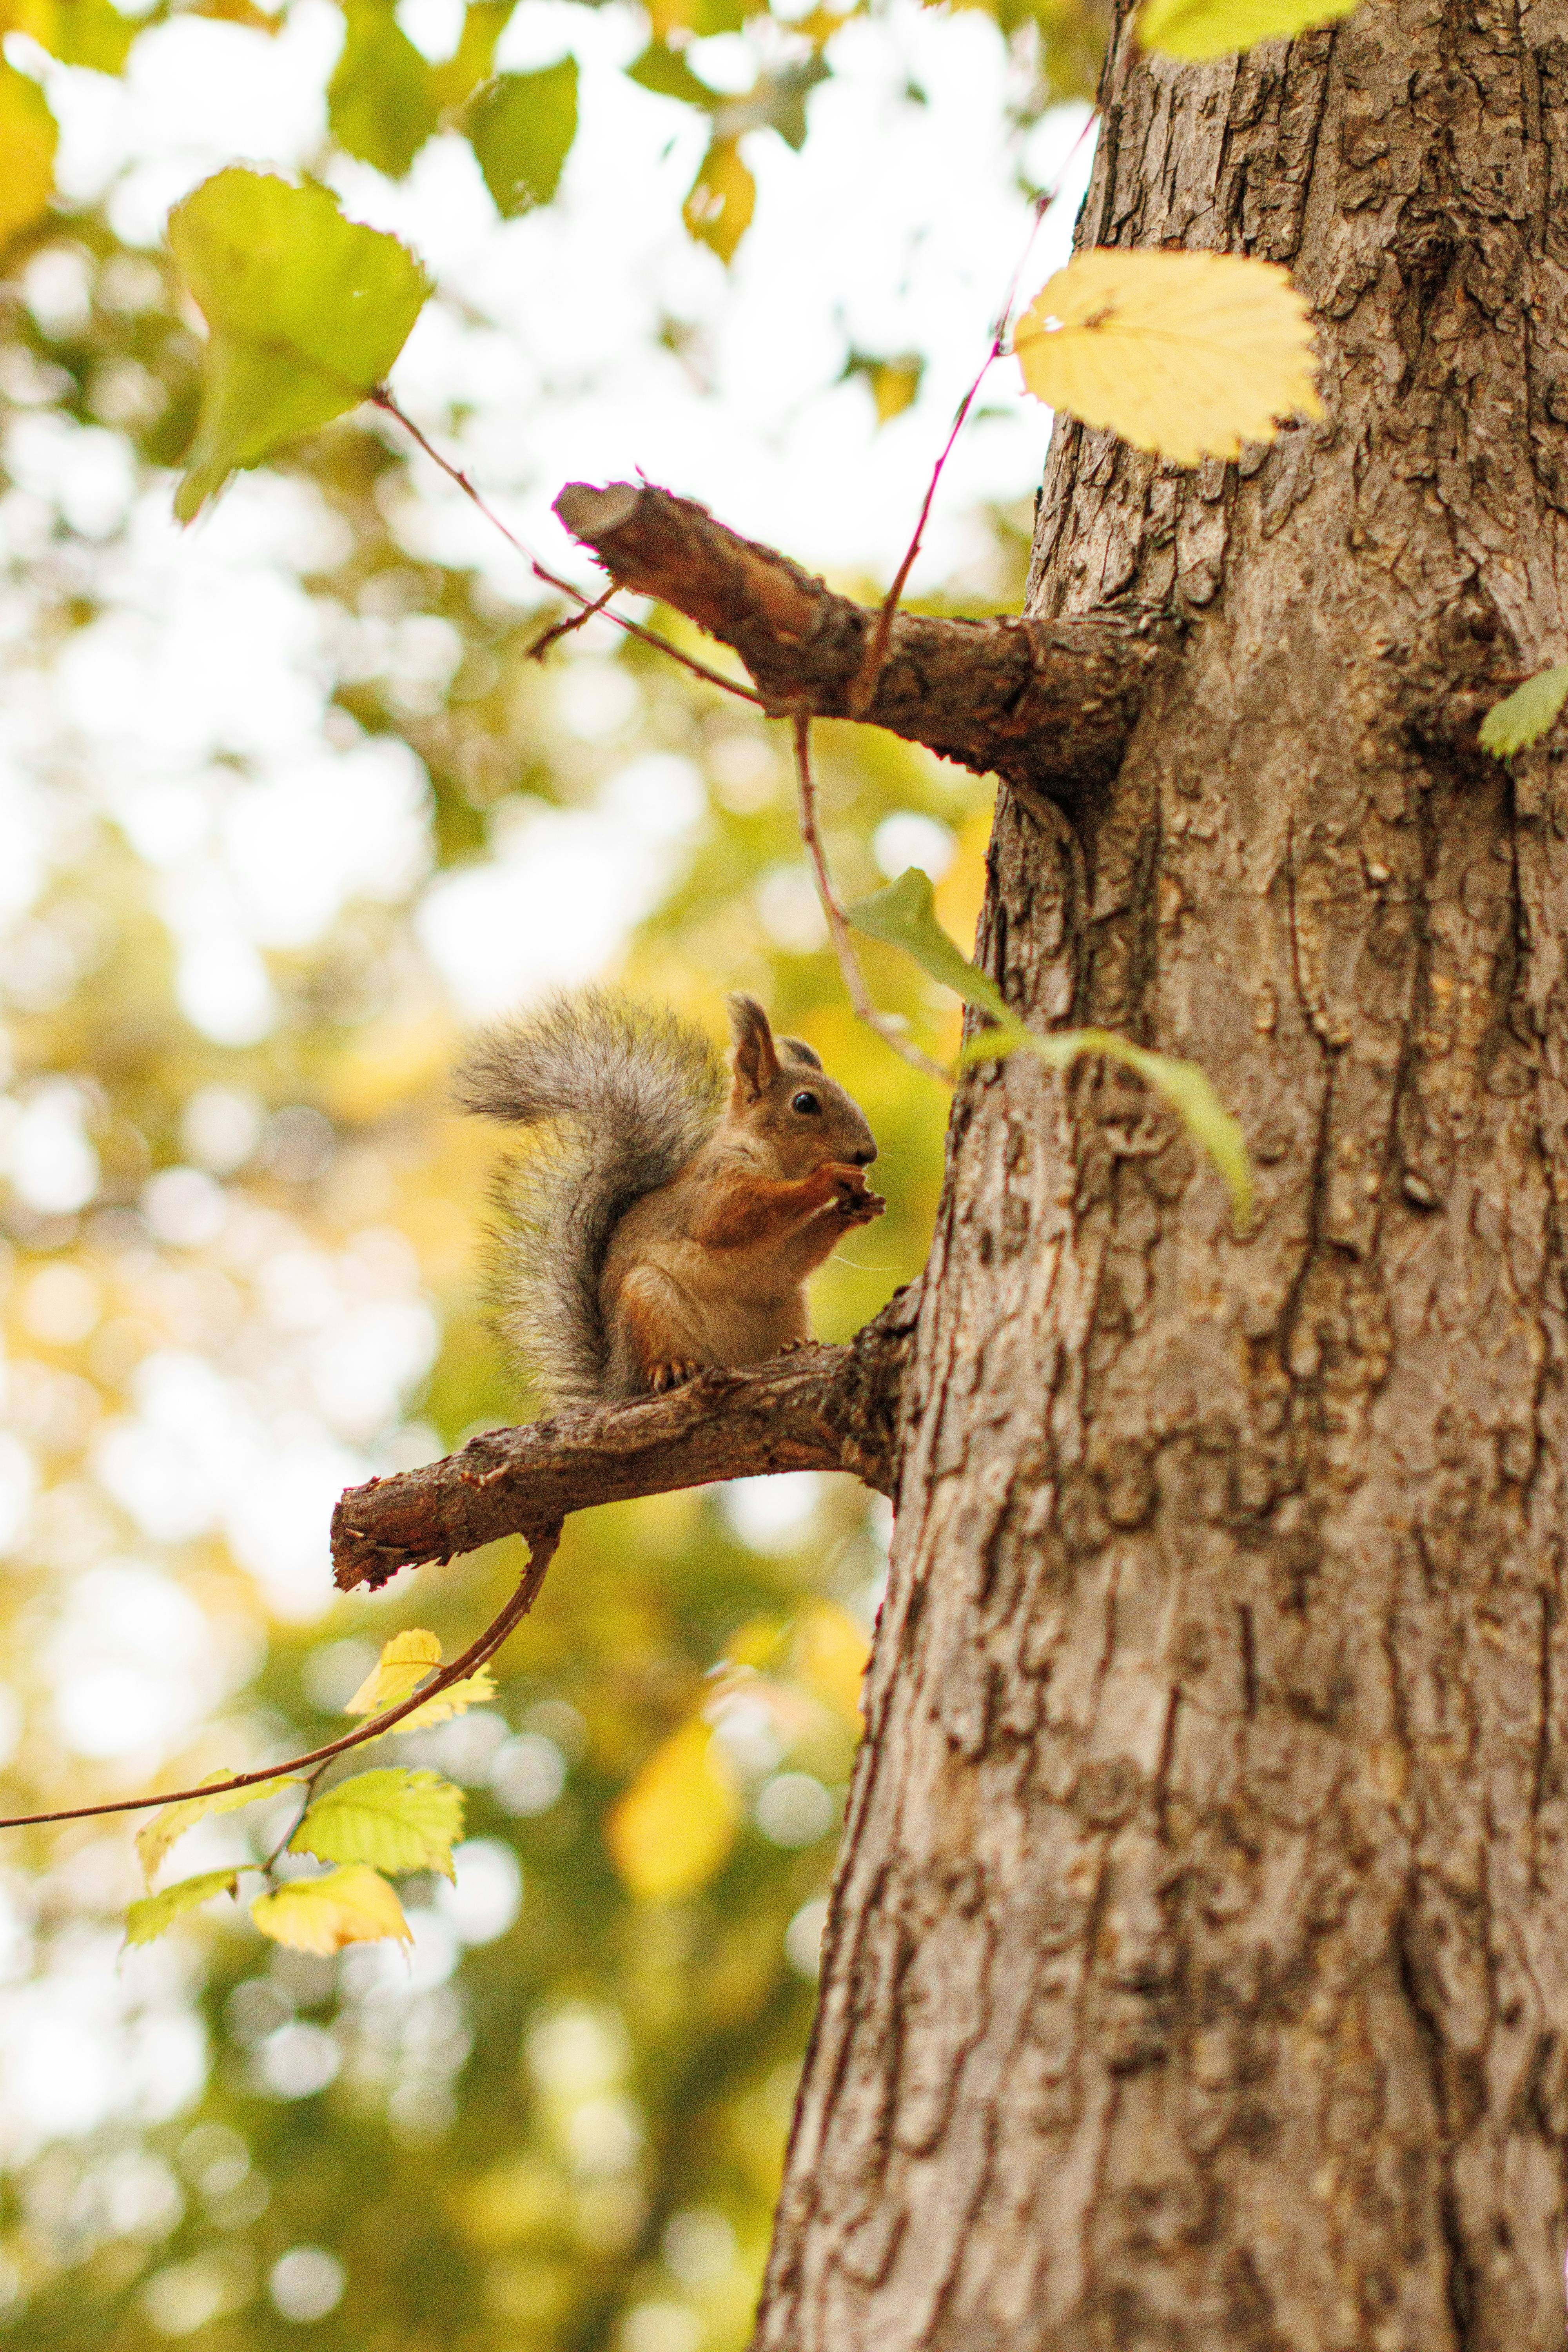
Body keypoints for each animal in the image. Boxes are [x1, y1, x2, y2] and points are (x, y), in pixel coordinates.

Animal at [455, 988, 885, 1408]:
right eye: (804, 1103)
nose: (868, 1154)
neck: (778, 1161)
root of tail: (616, 1384)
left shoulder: (782, 1256)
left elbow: (798, 1254)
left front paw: (857, 1208)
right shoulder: (713, 1186)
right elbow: (733, 1216)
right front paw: (828, 1181)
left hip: (786, 1303)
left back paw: (791, 1347)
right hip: (648, 1298)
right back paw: (672, 1367)